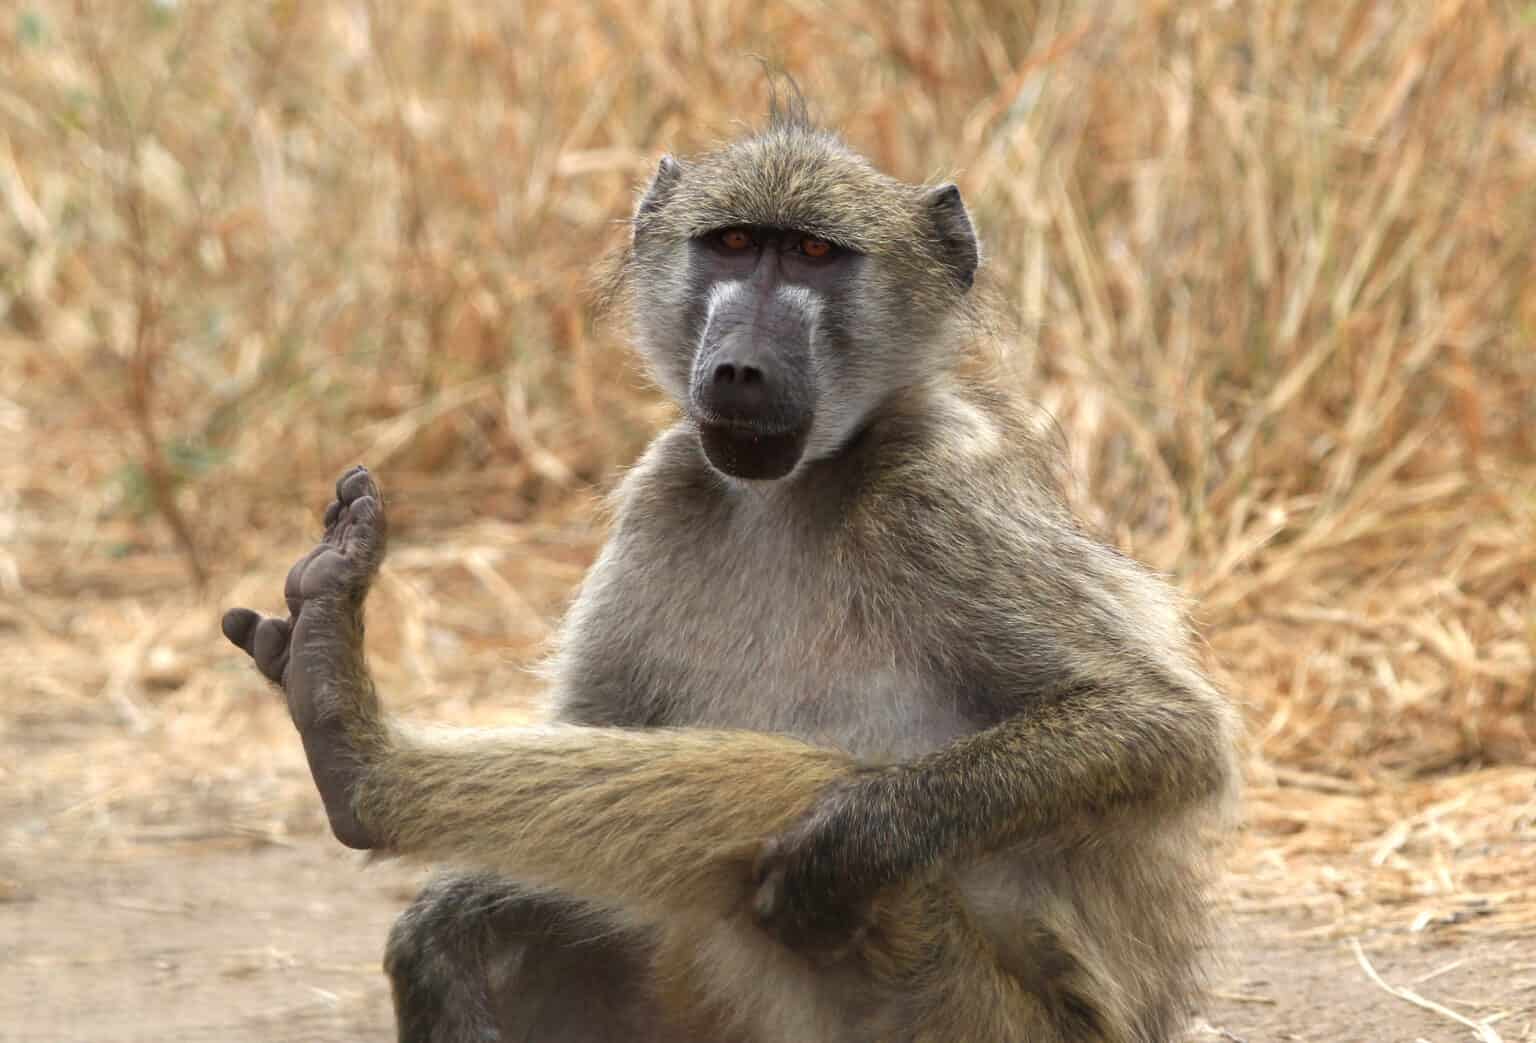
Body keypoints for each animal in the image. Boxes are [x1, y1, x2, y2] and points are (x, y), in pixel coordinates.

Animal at [222, 97, 1240, 1043]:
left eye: (815, 255)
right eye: (736, 245)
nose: (742, 368)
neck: (793, 486)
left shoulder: (939, 496)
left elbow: (1159, 726)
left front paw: (852, 842)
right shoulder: (665, 490)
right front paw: (449, 912)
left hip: (977, 1013)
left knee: (787, 793)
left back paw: (357, 756)